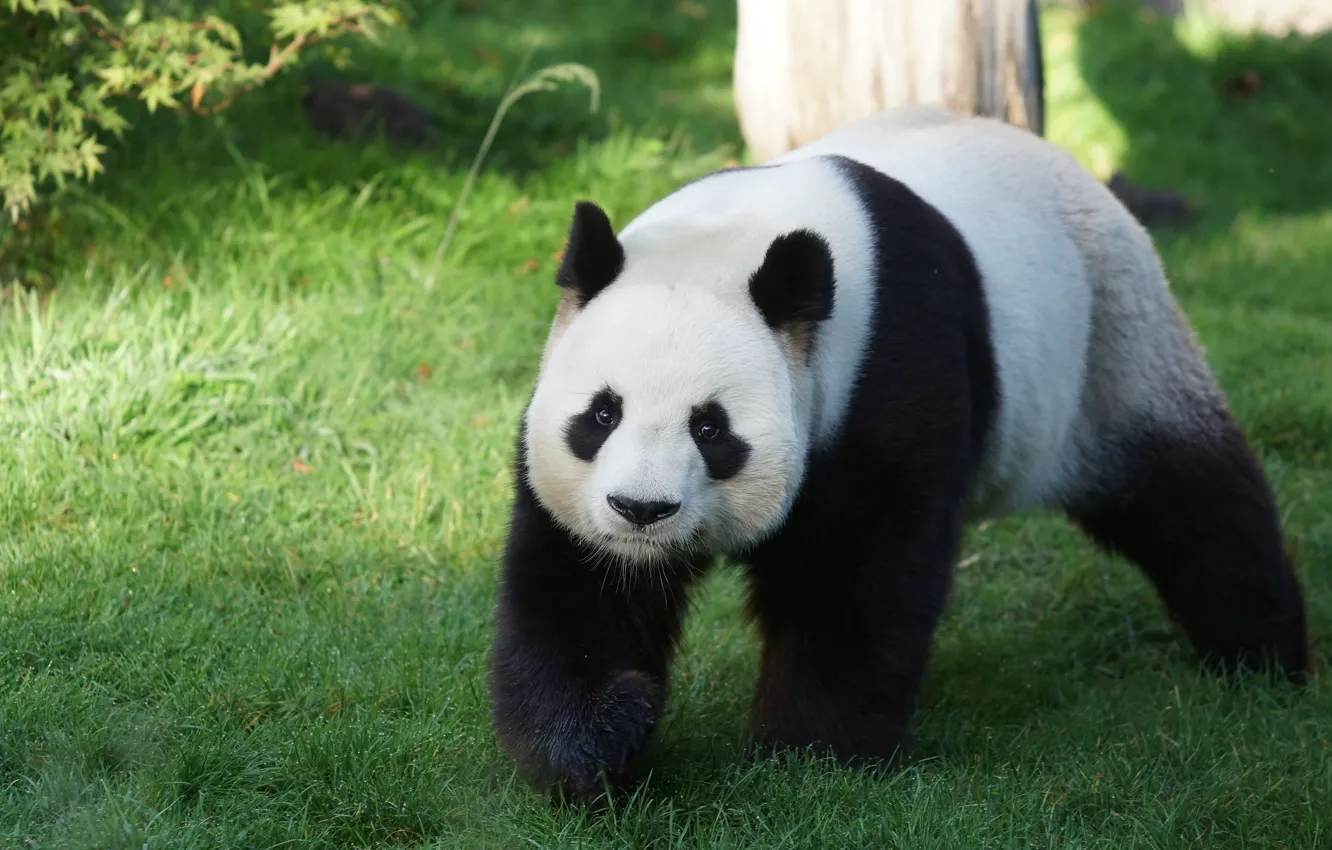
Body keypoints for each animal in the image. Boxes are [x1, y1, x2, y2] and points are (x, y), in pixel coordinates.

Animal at [487, 104, 1311, 805]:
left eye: (711, 429)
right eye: (602, 414)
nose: (643, 510)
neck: (735, 243)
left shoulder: (883, 371)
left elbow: (856, 575)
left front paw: (809, 756)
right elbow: (577, 585)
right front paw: (596, 742)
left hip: (1110, 350)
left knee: (1188, 495)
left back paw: (1266, 657)